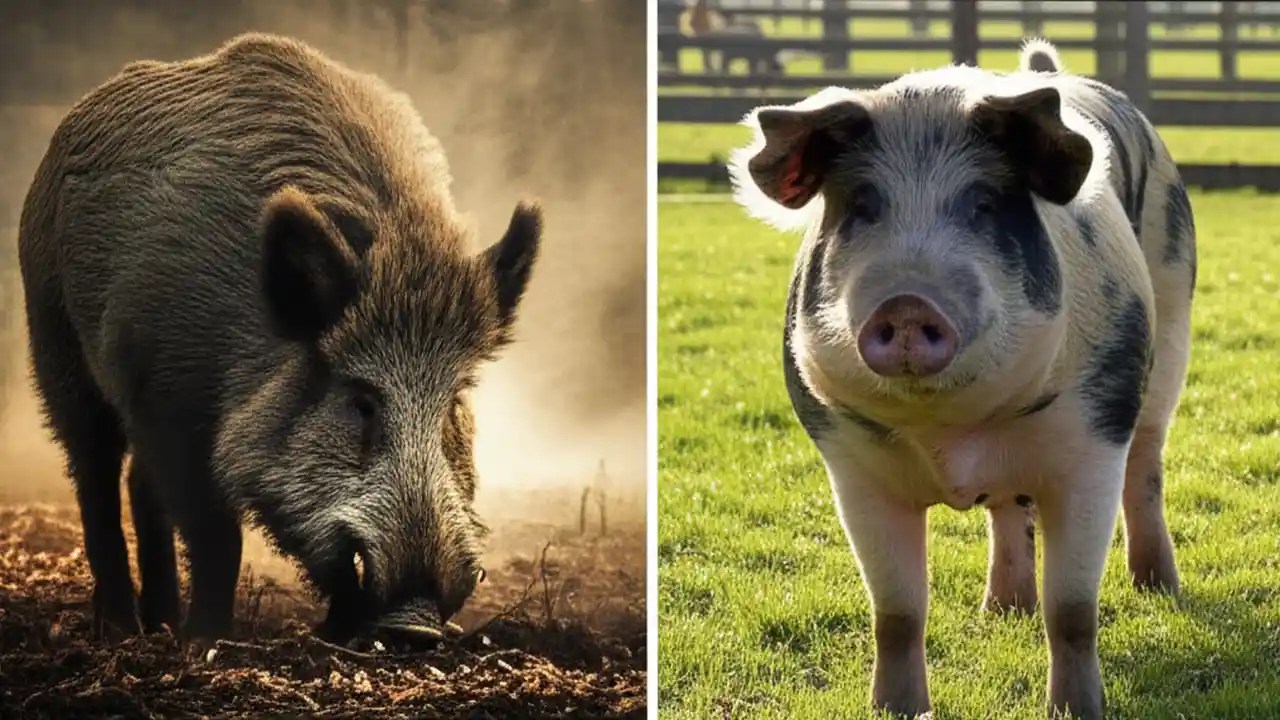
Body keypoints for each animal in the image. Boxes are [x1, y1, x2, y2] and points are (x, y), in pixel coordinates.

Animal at [17, 33, 542, 642]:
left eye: (454, 402)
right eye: (360, 400)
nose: (416, 628)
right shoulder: (167, 399)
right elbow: (217, 535)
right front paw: (207, 641)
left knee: (138, 485)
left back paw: (161, 624)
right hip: (56, 343)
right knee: (94, 473)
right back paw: (125, 630)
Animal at [728, 39, 1194, 719]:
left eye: (983, 205)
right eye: (862, 205)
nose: (907, 303)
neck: (950, 433)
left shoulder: (1092, 446)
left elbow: (1073, 611)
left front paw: (1075, 711)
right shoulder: (851, 463)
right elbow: (896, 613)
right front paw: (896, 710)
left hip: (1171, 326)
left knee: (1148, 466)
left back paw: (1157, 588)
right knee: (1008, 511)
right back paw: (1001, 610)